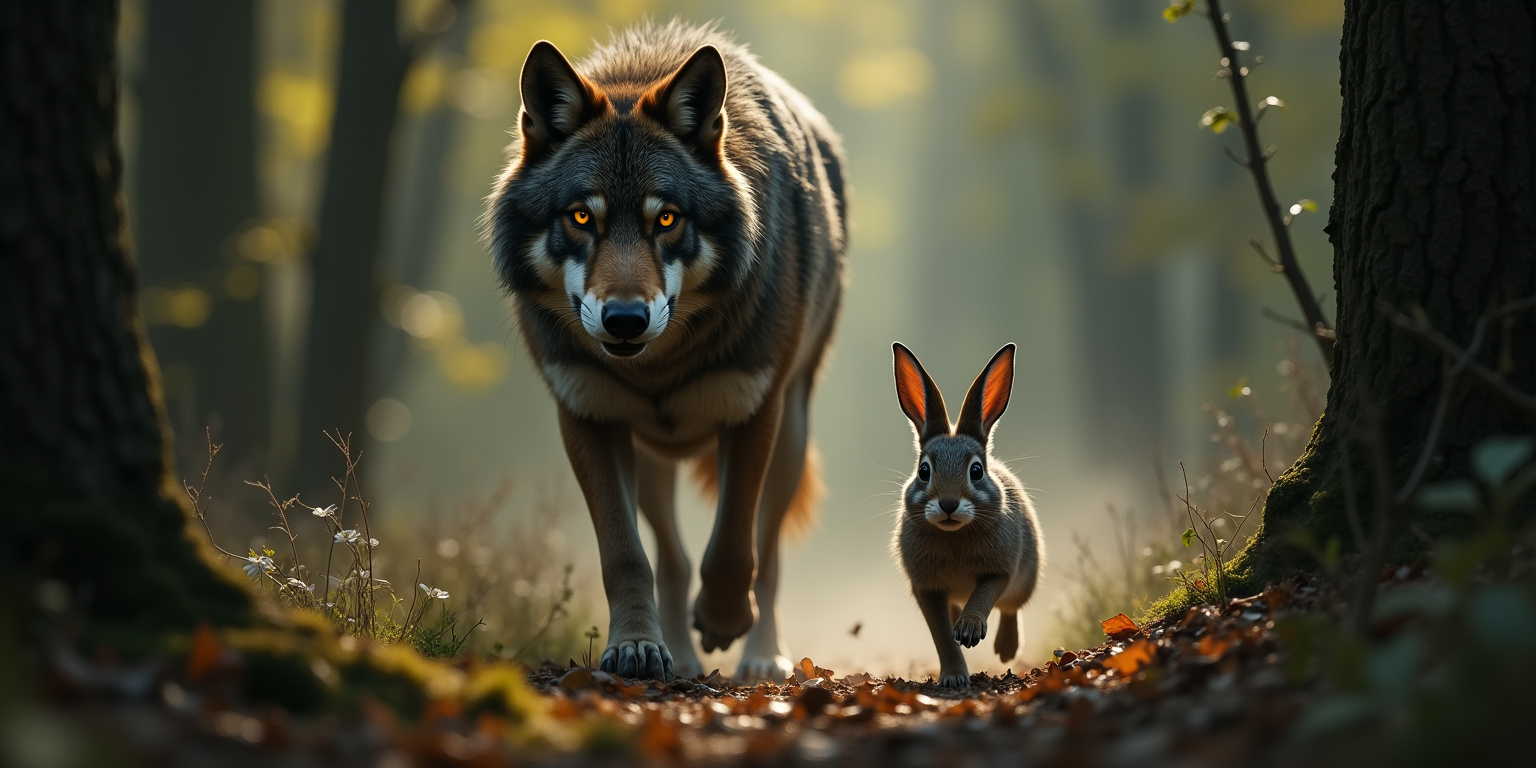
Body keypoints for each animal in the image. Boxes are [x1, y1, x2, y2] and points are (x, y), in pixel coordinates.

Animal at [890, 342, 1044, 688]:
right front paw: (953, 678)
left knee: (1011, 608)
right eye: (924, 471)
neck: (954, 535)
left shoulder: (1000, 569)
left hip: (1025, 578)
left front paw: (970, 629)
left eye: (976, 471)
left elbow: (985, 595)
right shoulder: (927, 588)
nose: (948, 503)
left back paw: (1006, 650)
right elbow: (942, 635)